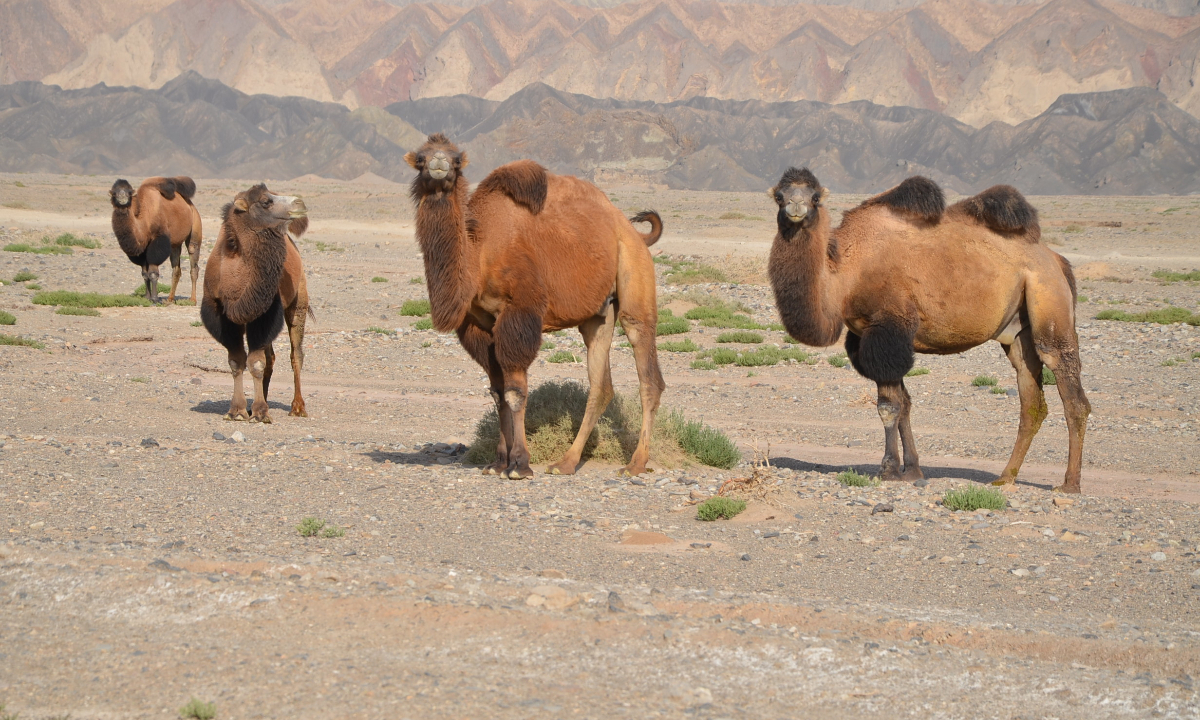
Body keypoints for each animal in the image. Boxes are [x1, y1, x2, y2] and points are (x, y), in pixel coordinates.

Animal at [200, 184, 313, 423]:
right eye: (265, 202)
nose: (300, 203)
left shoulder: (266, 314)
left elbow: (256, 362)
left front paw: (260, 412)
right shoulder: (220, 313)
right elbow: (236, 362)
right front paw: (238, 411)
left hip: (298, 300)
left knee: (295, 353)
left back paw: (298, 407)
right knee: (271, 357)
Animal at [405, 133, 665, 478]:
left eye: (457, 160)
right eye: (420, 158)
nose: (438, 164)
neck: (479, 253)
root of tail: (632, 230)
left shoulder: (519, 313)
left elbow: (515, 392)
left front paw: (520, 465)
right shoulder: (479, 326)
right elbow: (497, 393)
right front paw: (497, 463)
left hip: (635, 274)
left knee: (647, 370)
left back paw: (635, 464)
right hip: (598, 314)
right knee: (601, 384)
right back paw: (566, 463)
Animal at [767, 168, 1090, 493]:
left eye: (815, 197)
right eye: (779, 196)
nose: (796, 207)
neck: (847, 273)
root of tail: (1055, 259)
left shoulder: (888, 330)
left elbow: (889, 407)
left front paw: (888, 469)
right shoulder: (870, 339)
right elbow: (905, 404)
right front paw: (912, 469)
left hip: (1047, 296)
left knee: (1069, 388)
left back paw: (1069, 484)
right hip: (1017, 329)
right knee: (1031, 398)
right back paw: (1005, 477)